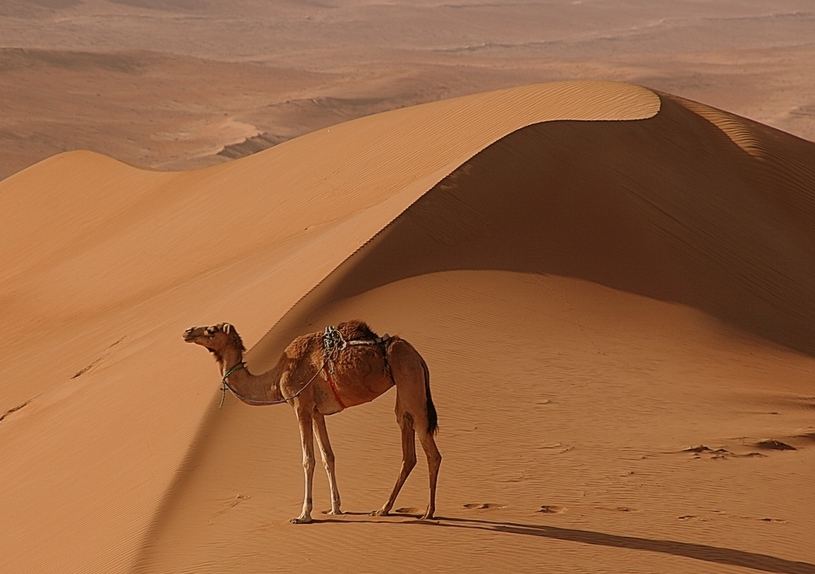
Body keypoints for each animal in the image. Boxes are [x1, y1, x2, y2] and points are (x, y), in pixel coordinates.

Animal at [182, 320, 441, 524]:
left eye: (212, 330)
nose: (187, 331)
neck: (276, 378)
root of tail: (419, 357)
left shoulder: (302, 406)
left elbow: (308, 459)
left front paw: (303, 515)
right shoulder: (317, 412)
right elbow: (328, 456)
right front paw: (335, 508)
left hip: (410, 380)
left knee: (431, 451)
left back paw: (428, 512)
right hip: (405, 393)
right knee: (408, 448)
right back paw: (384, 509)